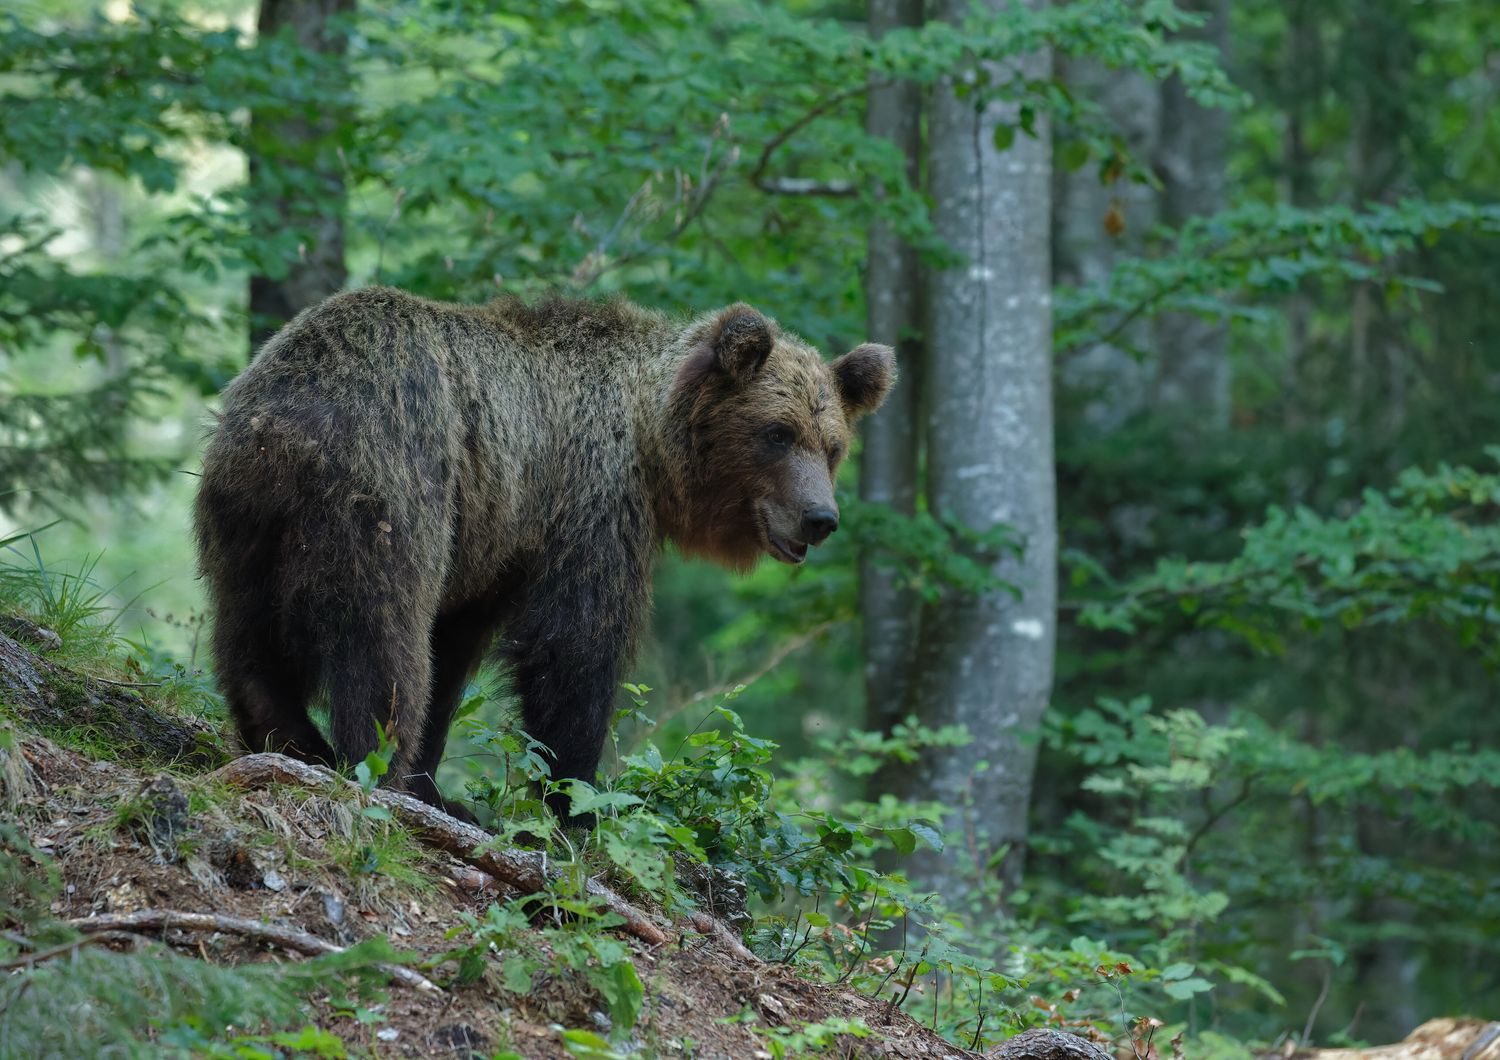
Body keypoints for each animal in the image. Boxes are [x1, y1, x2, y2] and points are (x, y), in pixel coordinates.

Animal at [193, 286, 893, 820]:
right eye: (777, 433)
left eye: (832, 446)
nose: (820, 518)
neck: (650, 439)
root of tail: (288, 413)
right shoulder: (590, 500)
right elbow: (574, 647)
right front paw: (577, 802)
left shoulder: (492, 545)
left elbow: (455, 650)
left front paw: (437, 784)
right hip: (392, 479)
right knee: (382, 636)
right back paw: (371, 765)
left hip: (247, 515)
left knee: (247, 634)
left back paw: (292, 739)